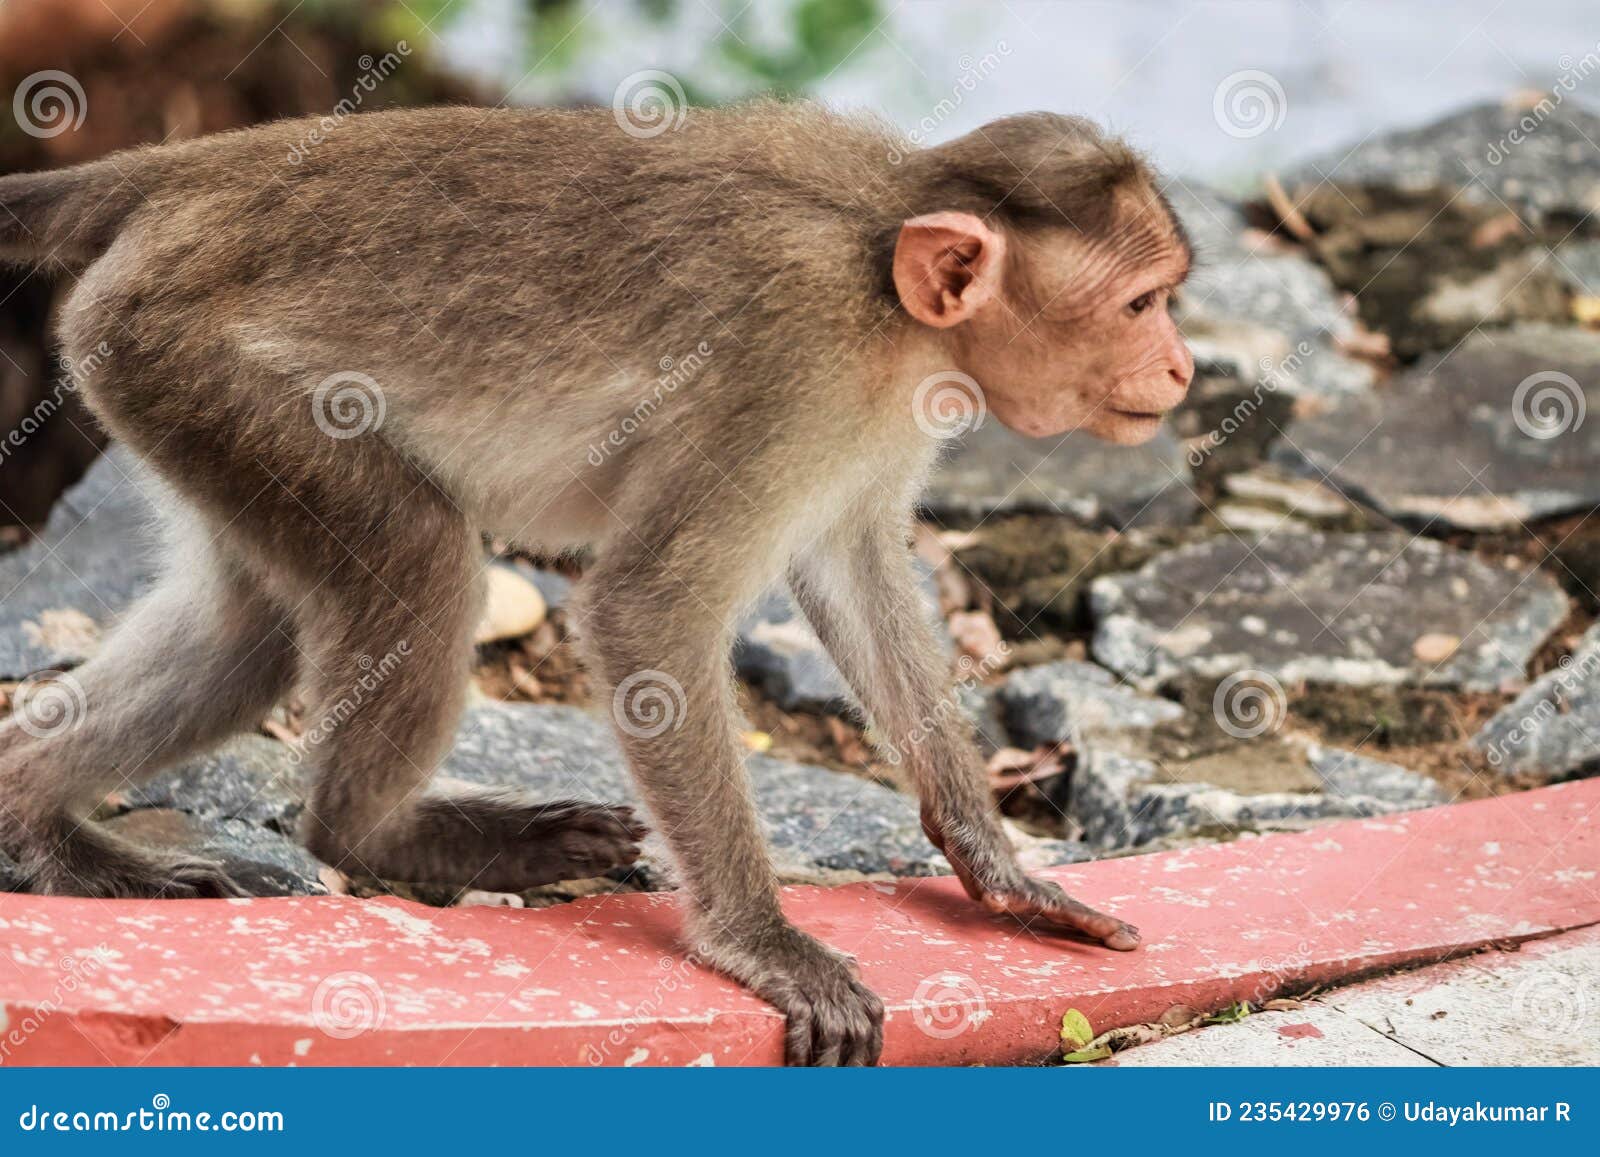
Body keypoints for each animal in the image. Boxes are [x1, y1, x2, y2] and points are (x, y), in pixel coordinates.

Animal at [0, 101, 1193, 1065]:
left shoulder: (874, 416)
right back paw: (373, 835)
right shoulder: (793, 361)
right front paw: (761, 940)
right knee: (422, 561)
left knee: (249, 636)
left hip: (154, 375)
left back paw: (38, 823)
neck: (884, 274)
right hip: (187, 353)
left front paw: (994, 863)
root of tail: (200, 169)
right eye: (1140, 305)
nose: (1181, 368)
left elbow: (854, 569)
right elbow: (647, 607)